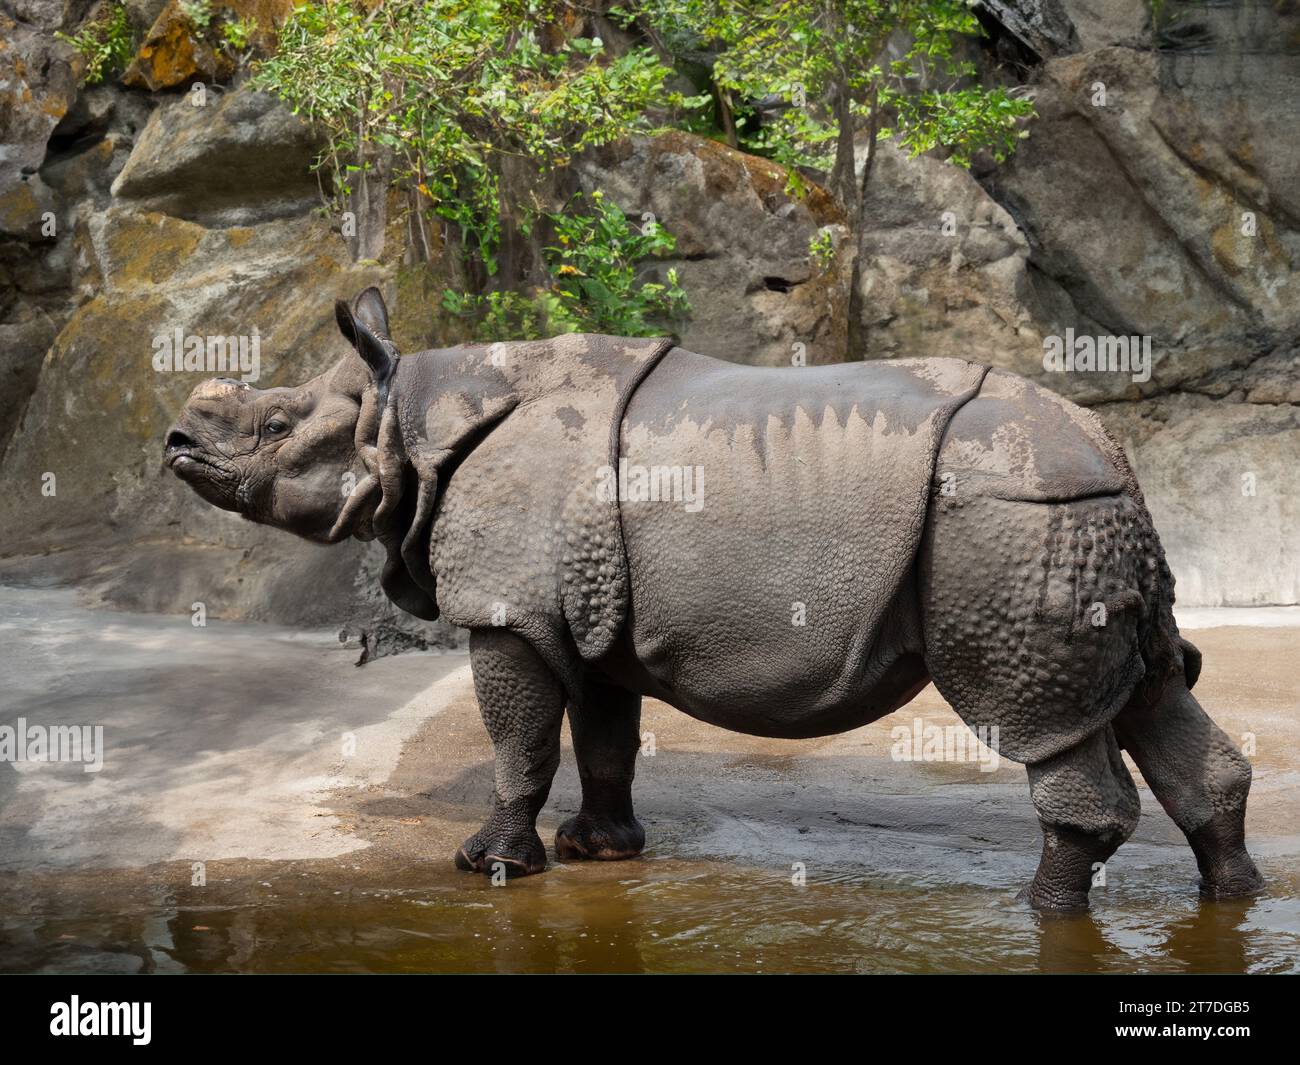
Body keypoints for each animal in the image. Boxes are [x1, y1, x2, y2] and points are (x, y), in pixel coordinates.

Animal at [164, 287, 1264, 910]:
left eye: (275, 425)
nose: (175, 440)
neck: (403, 417)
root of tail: (1112, 451)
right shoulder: (586, 605)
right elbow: (604, 732)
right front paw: (599, 851)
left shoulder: (509, 610)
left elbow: (519, 737)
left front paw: (488, 866)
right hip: (1079, 518)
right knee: (1154, 692)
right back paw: (1233, 899)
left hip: (1005, 516)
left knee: (1039, 717)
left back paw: (1044, 912)